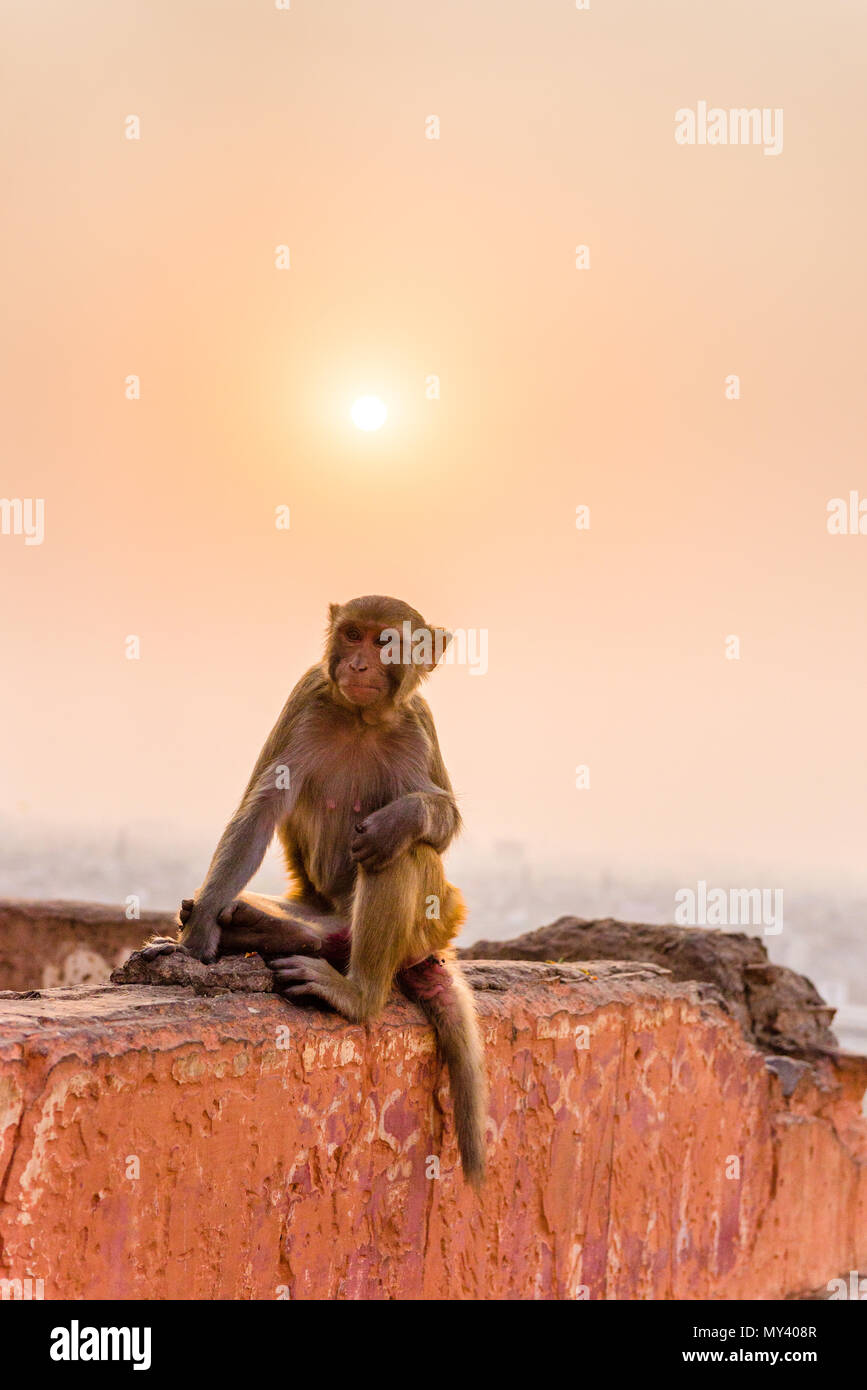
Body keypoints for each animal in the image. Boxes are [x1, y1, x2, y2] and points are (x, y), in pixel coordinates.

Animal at [142, 596, 487, 1186]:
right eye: (352, 635)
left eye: (384, 642)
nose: (358, 664)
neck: (362, 718)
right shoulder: (305, 698)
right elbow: (261, 808)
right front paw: (201, 929)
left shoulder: (418, 723)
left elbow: (439, 820)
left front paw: (404, 817)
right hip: (325, 914)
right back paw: (260, 928)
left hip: (431, 919)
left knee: (398, 855)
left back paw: (356, 993)